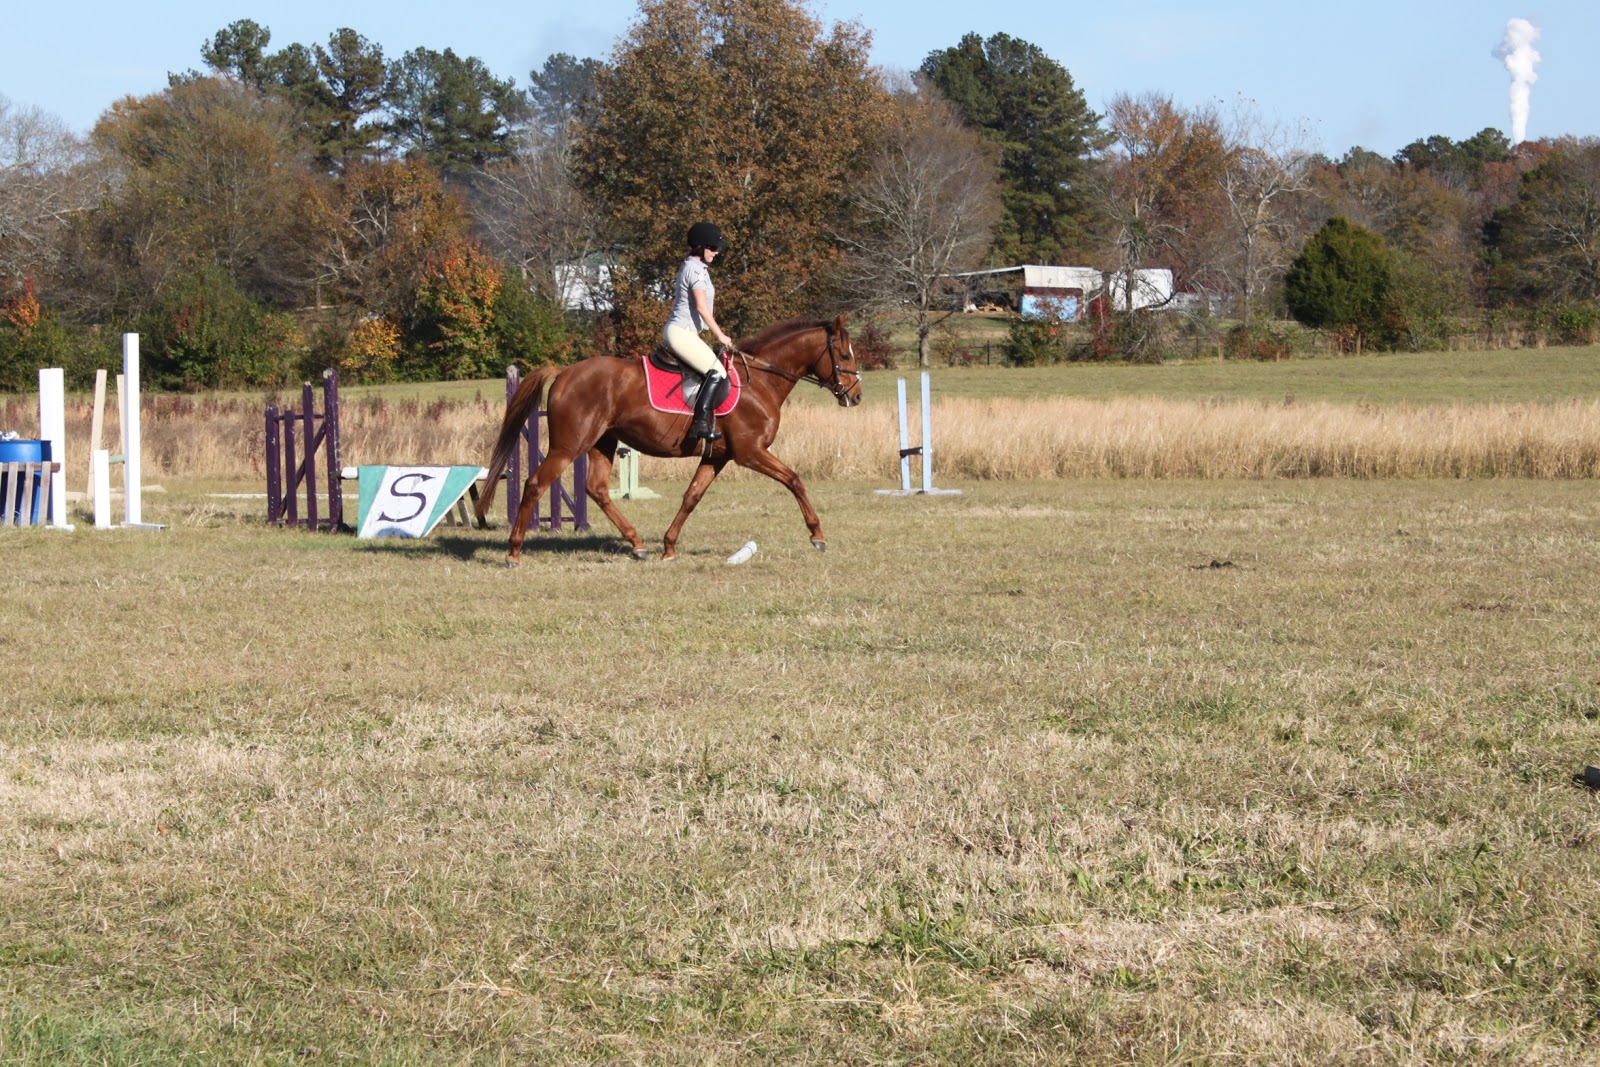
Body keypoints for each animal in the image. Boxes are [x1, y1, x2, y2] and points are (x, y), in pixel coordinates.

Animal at [475, 314, 862, 563]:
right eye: (844, 355)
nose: (856, 397)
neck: (761, 381)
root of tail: (564, 371)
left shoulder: (716, 456)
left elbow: (692, 497)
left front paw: (669, 546)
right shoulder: (750, 452)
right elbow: (794, 480)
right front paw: (817, 536)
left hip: (602, 443)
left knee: (596, 489)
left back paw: (637, 544)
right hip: (568, 446)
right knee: (536, 484)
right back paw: (513, 551)